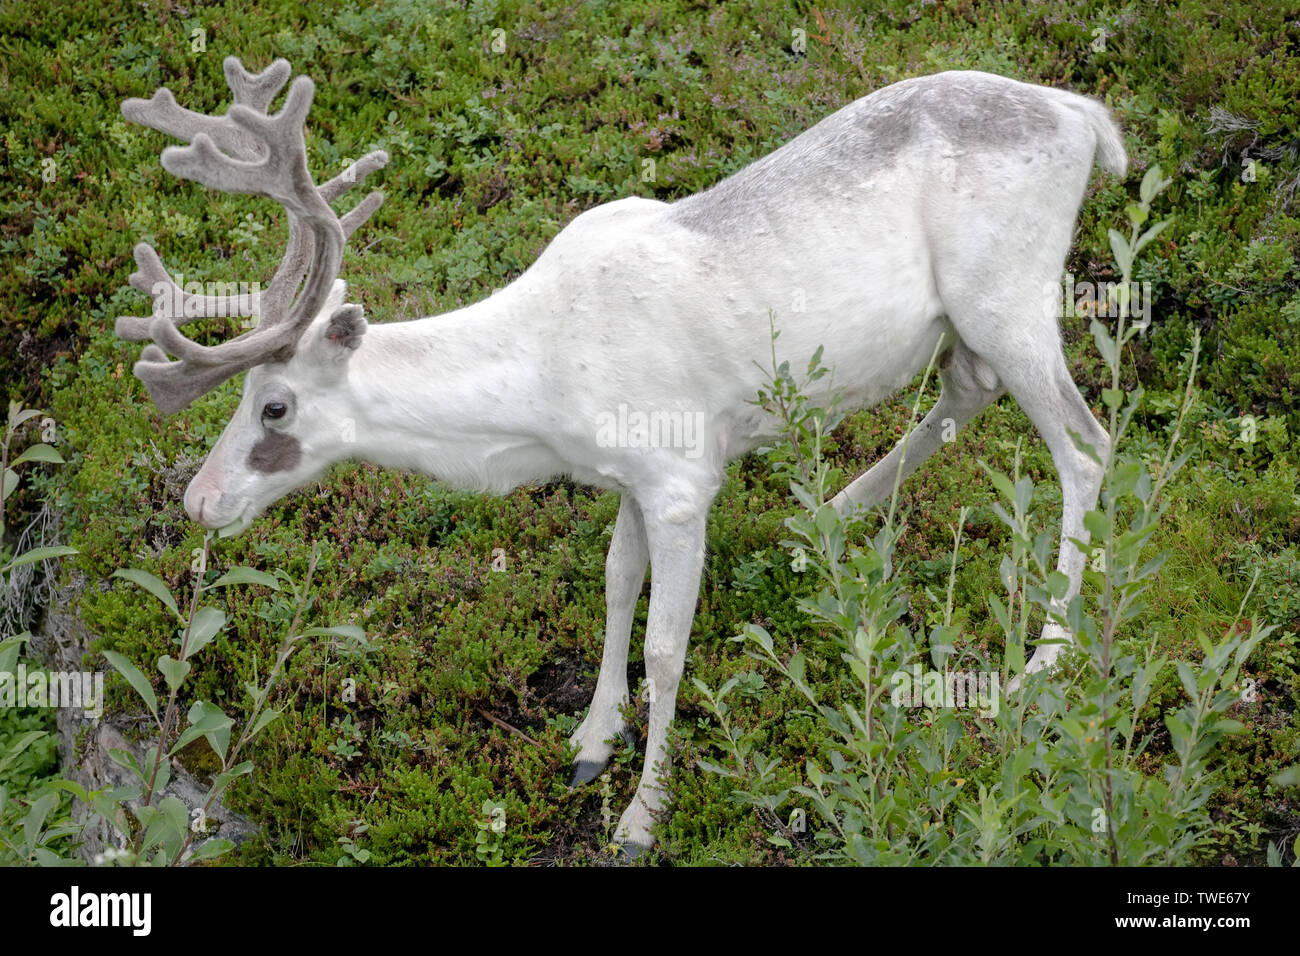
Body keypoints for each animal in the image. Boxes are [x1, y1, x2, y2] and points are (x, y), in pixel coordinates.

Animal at [115, 56, 1125, 854]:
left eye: (274, 404)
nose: (199, 502)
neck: (543, 393)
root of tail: (1086, 118)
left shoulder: (682, 479)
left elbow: (669, 644)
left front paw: (644, 814)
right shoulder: (631, 481)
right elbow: (612, 585)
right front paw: (591, 741)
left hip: (1009, 292)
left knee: (1087, 445)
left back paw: (1045, 659)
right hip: (965, 318)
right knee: (970, 389)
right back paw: (832, 514)